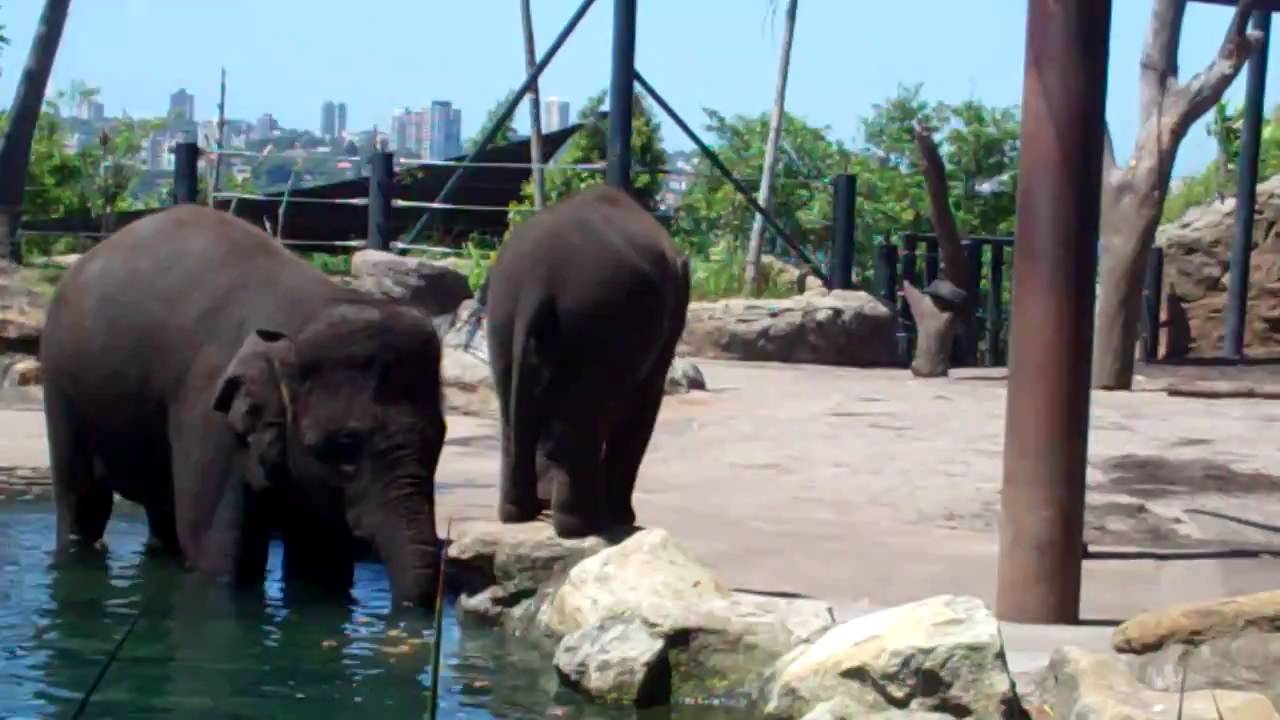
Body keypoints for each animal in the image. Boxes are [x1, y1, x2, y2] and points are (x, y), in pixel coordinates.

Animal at [39, 204, 447, 607]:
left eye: (438, 441)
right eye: (344, 445)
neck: (313, 309)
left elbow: (320, 564)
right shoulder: (207, 408)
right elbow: (219, 552)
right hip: (60, 383)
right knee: (83, 501)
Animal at [484, 185, 691, 539]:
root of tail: (538, 279)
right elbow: (644, 401)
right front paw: (623, 518)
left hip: (502, 314)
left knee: (513, 414)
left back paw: (518, 514)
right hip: (597, 316)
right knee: (583, 415)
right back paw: (583, 525)